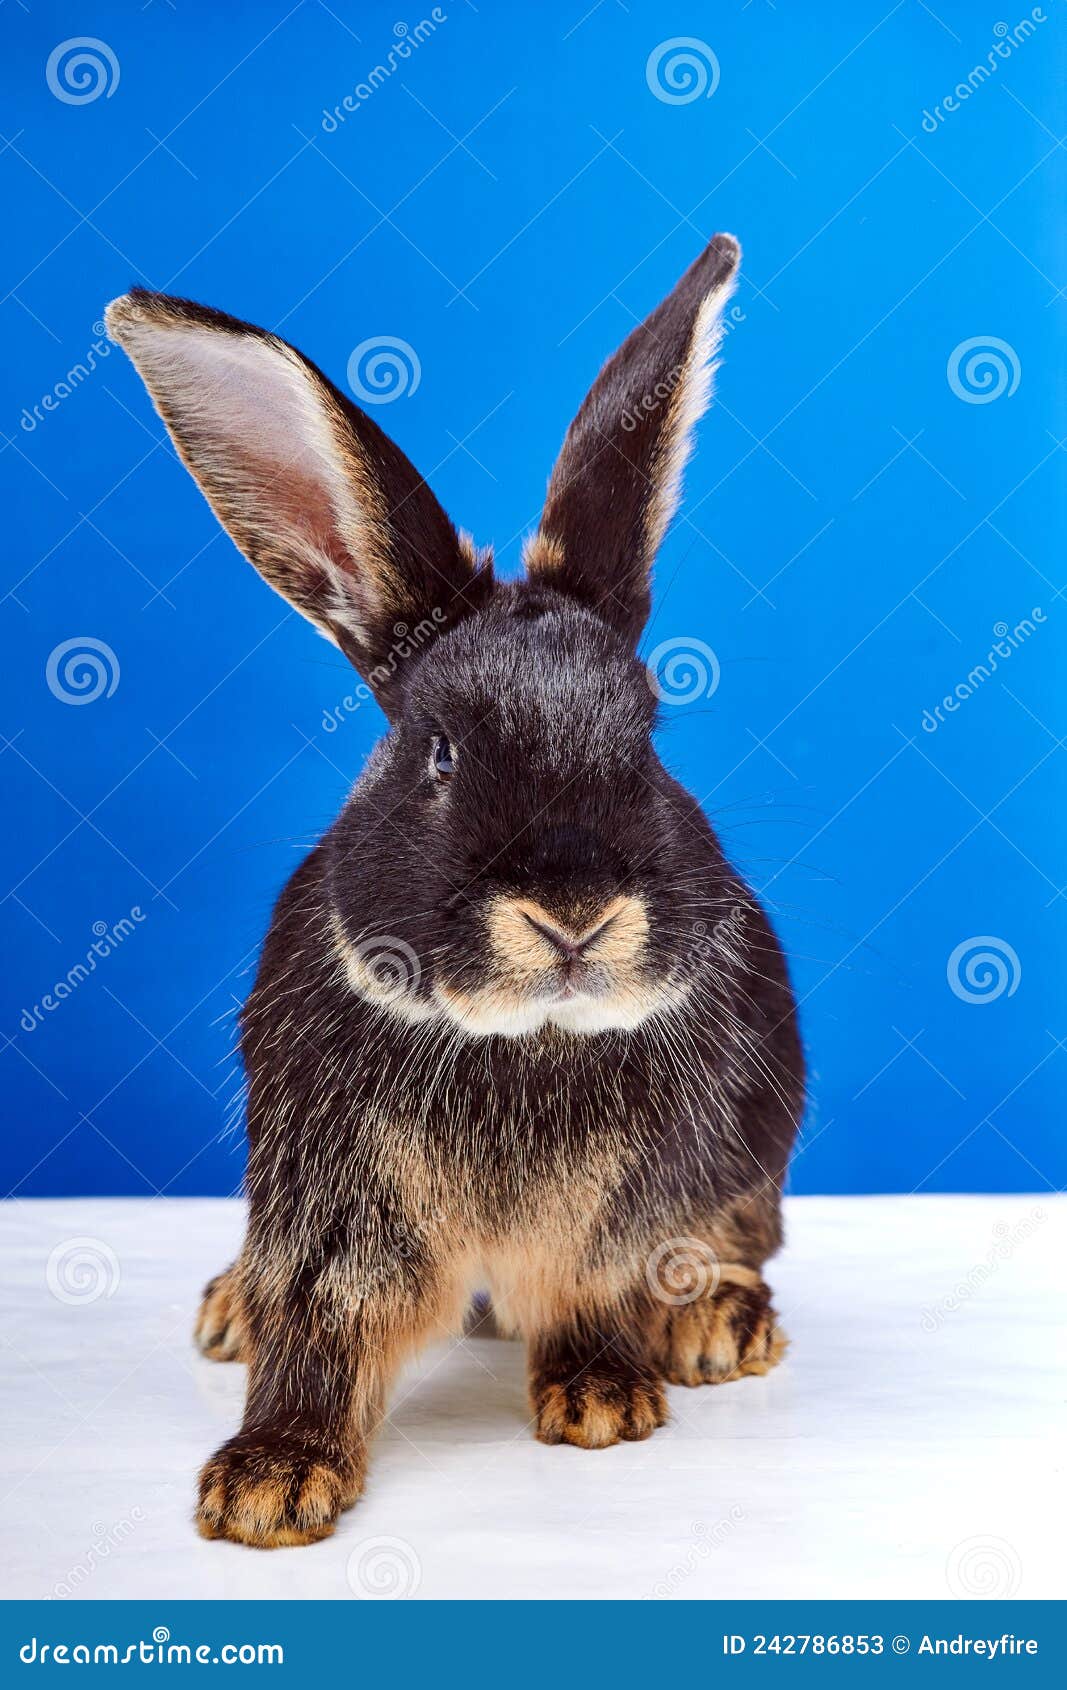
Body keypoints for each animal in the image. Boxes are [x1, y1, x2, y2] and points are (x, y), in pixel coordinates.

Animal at [106, 231, 804, 1550]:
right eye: (435, 754)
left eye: (645, 737)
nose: (573, 912)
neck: (519, 1037)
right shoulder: (332, 1207)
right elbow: (322, 1329)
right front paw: (267, 1483)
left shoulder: (617, 1214)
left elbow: (597, 1288)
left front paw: (601, 1398)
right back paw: (228, 1308)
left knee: (743, 1230)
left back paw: (717, 1324)